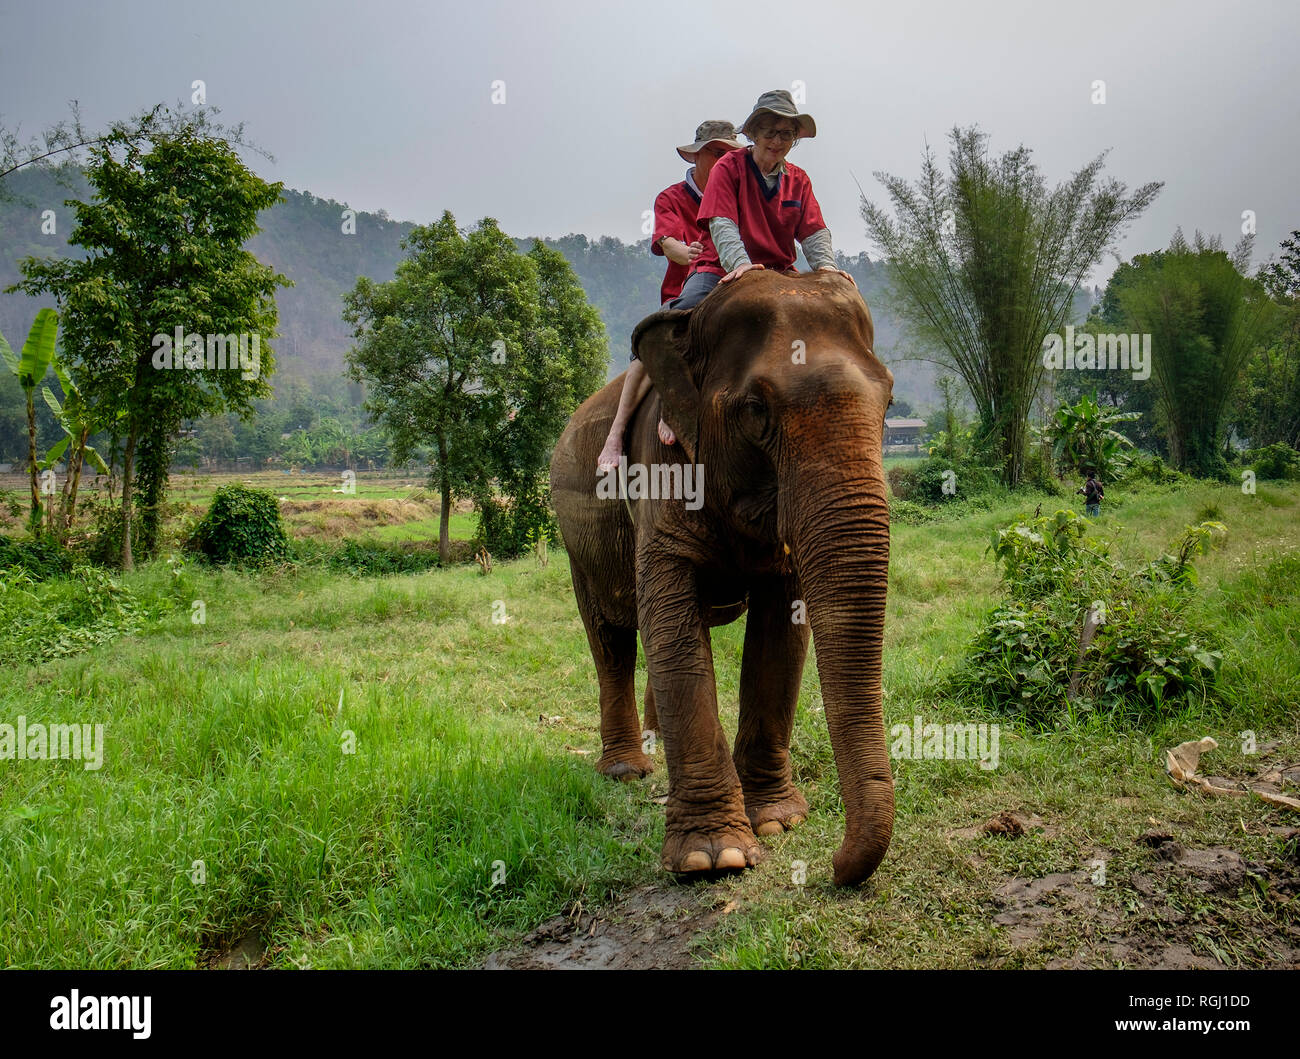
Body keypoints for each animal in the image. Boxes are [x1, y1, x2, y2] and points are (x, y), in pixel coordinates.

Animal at [548, 270, 894, 886]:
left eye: (890, 402)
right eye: (756, 409)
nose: (833, 866)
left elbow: (780, 634)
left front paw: (777, 822)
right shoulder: (657, 463)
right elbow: (671, 618)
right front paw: (713, 858)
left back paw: (657, 747)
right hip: (577, 545)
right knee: (612, 640)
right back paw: (626, 771)